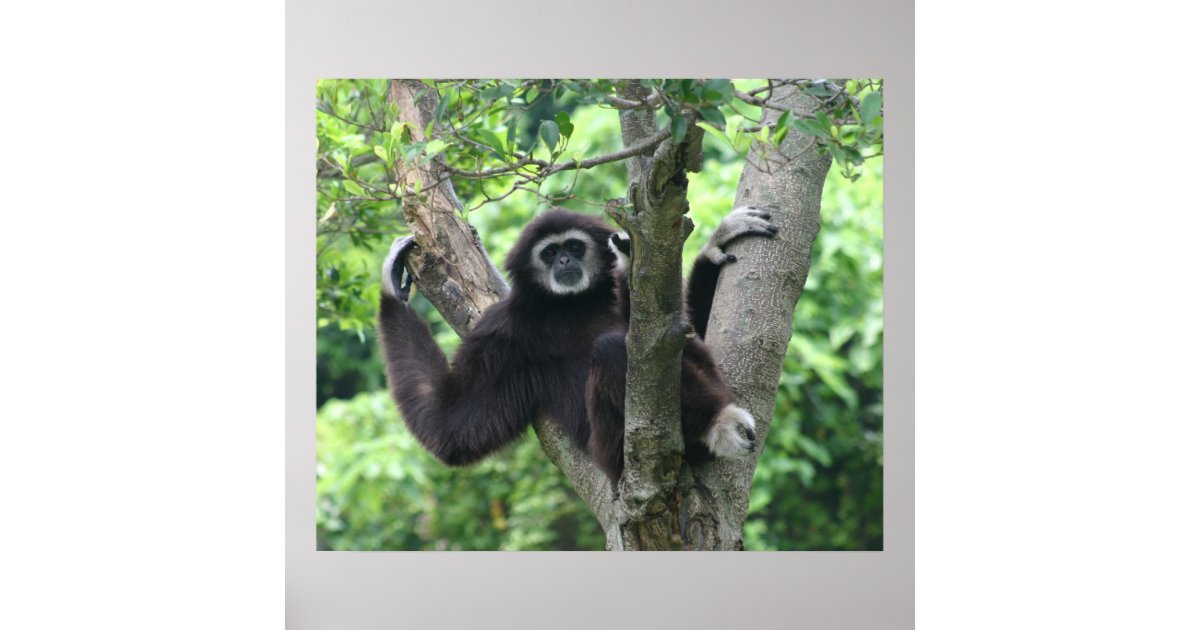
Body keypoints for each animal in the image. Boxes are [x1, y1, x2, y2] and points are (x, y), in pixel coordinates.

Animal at [376, 206, 777, 486]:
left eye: (573, 246)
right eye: (549, 254)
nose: (565, 260)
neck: (573, 303)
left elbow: (677, 332)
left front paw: (712, 247)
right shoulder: (501, 333)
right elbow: (450, 428)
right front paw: (393, 291)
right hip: (612, 450)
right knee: (612, 348)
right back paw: (718, 424)